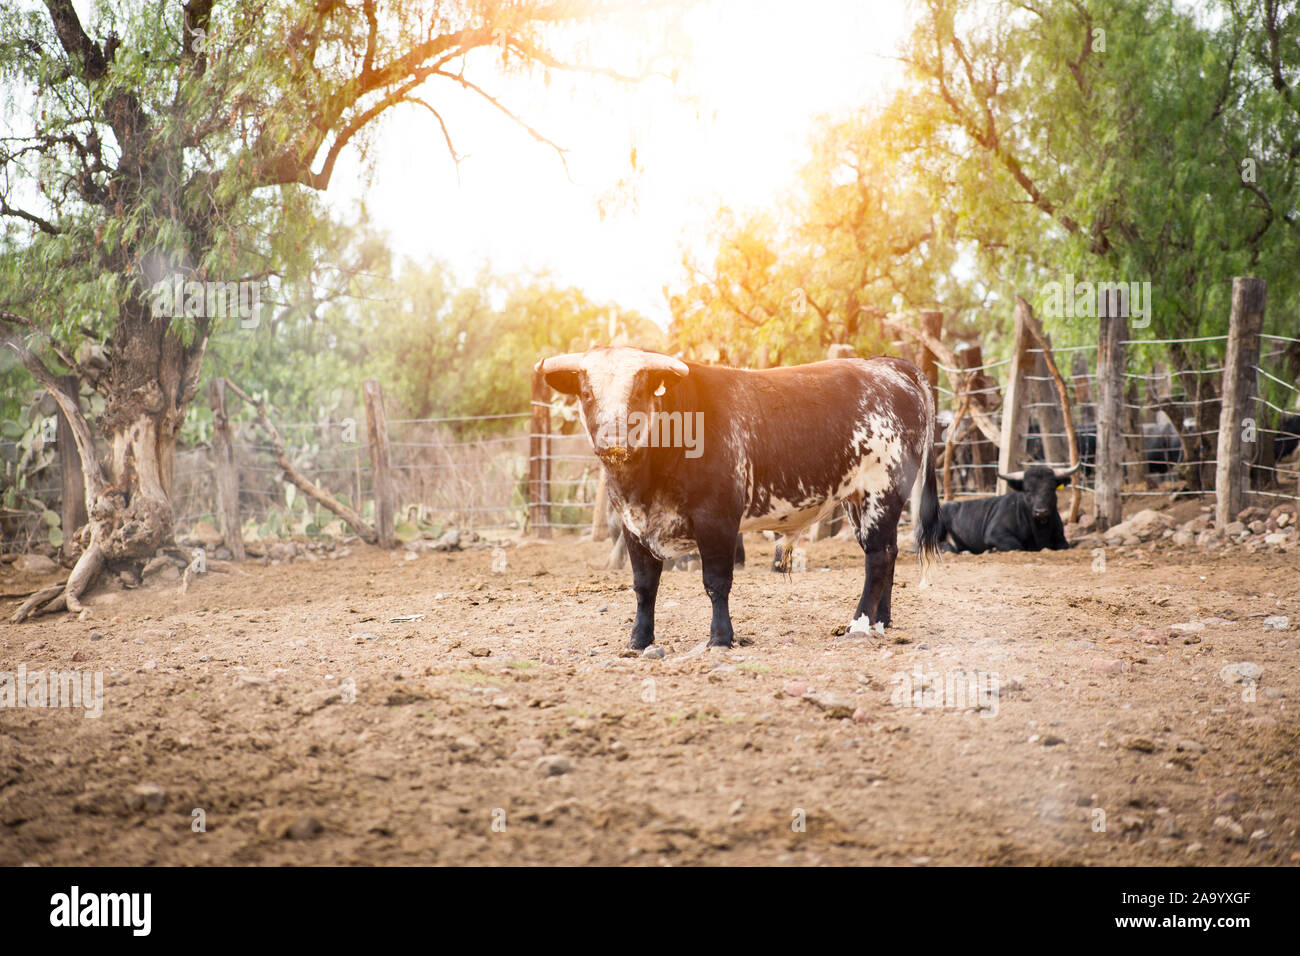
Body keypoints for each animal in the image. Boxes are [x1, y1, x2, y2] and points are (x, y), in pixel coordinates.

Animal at [536, 346, 942, 648]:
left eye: (637, 391)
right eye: (587, 393)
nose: (614, 440)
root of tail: (885, 365)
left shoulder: (716, 519)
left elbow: (716, 581)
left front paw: (720, 638)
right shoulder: (634, 525)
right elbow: (644, 585)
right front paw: (639, 641)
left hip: (881, 491)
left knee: (877, 557)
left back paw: (859, 624)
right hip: (861, 499)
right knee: (889, 552)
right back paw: (881, 621)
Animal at [937, 462, 1080, 554]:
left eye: (1051, 489)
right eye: (1028, 490)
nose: (1041, 512)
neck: (1040, 530)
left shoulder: (1061, 539)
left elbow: (1064, 546)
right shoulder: (995, 534)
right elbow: (1017, 546)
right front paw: (992, 550)